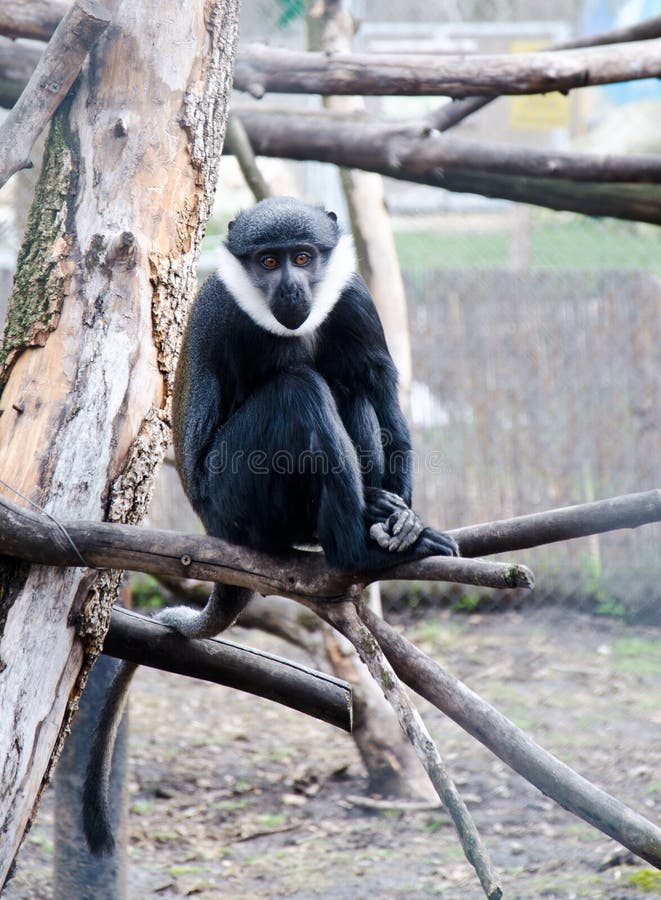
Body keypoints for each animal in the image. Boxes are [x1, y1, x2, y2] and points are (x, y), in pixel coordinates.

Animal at [83, 197, 458, 855]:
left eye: (303, 258)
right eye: (267, 261)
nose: (290, 288)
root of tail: (215, 530)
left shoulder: (352, 299)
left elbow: (378, 385)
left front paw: (408, 520)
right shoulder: (223, 313)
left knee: (347, 387)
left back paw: (377, 517)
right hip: (234, 499)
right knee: (299, 389)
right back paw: (356, 550)